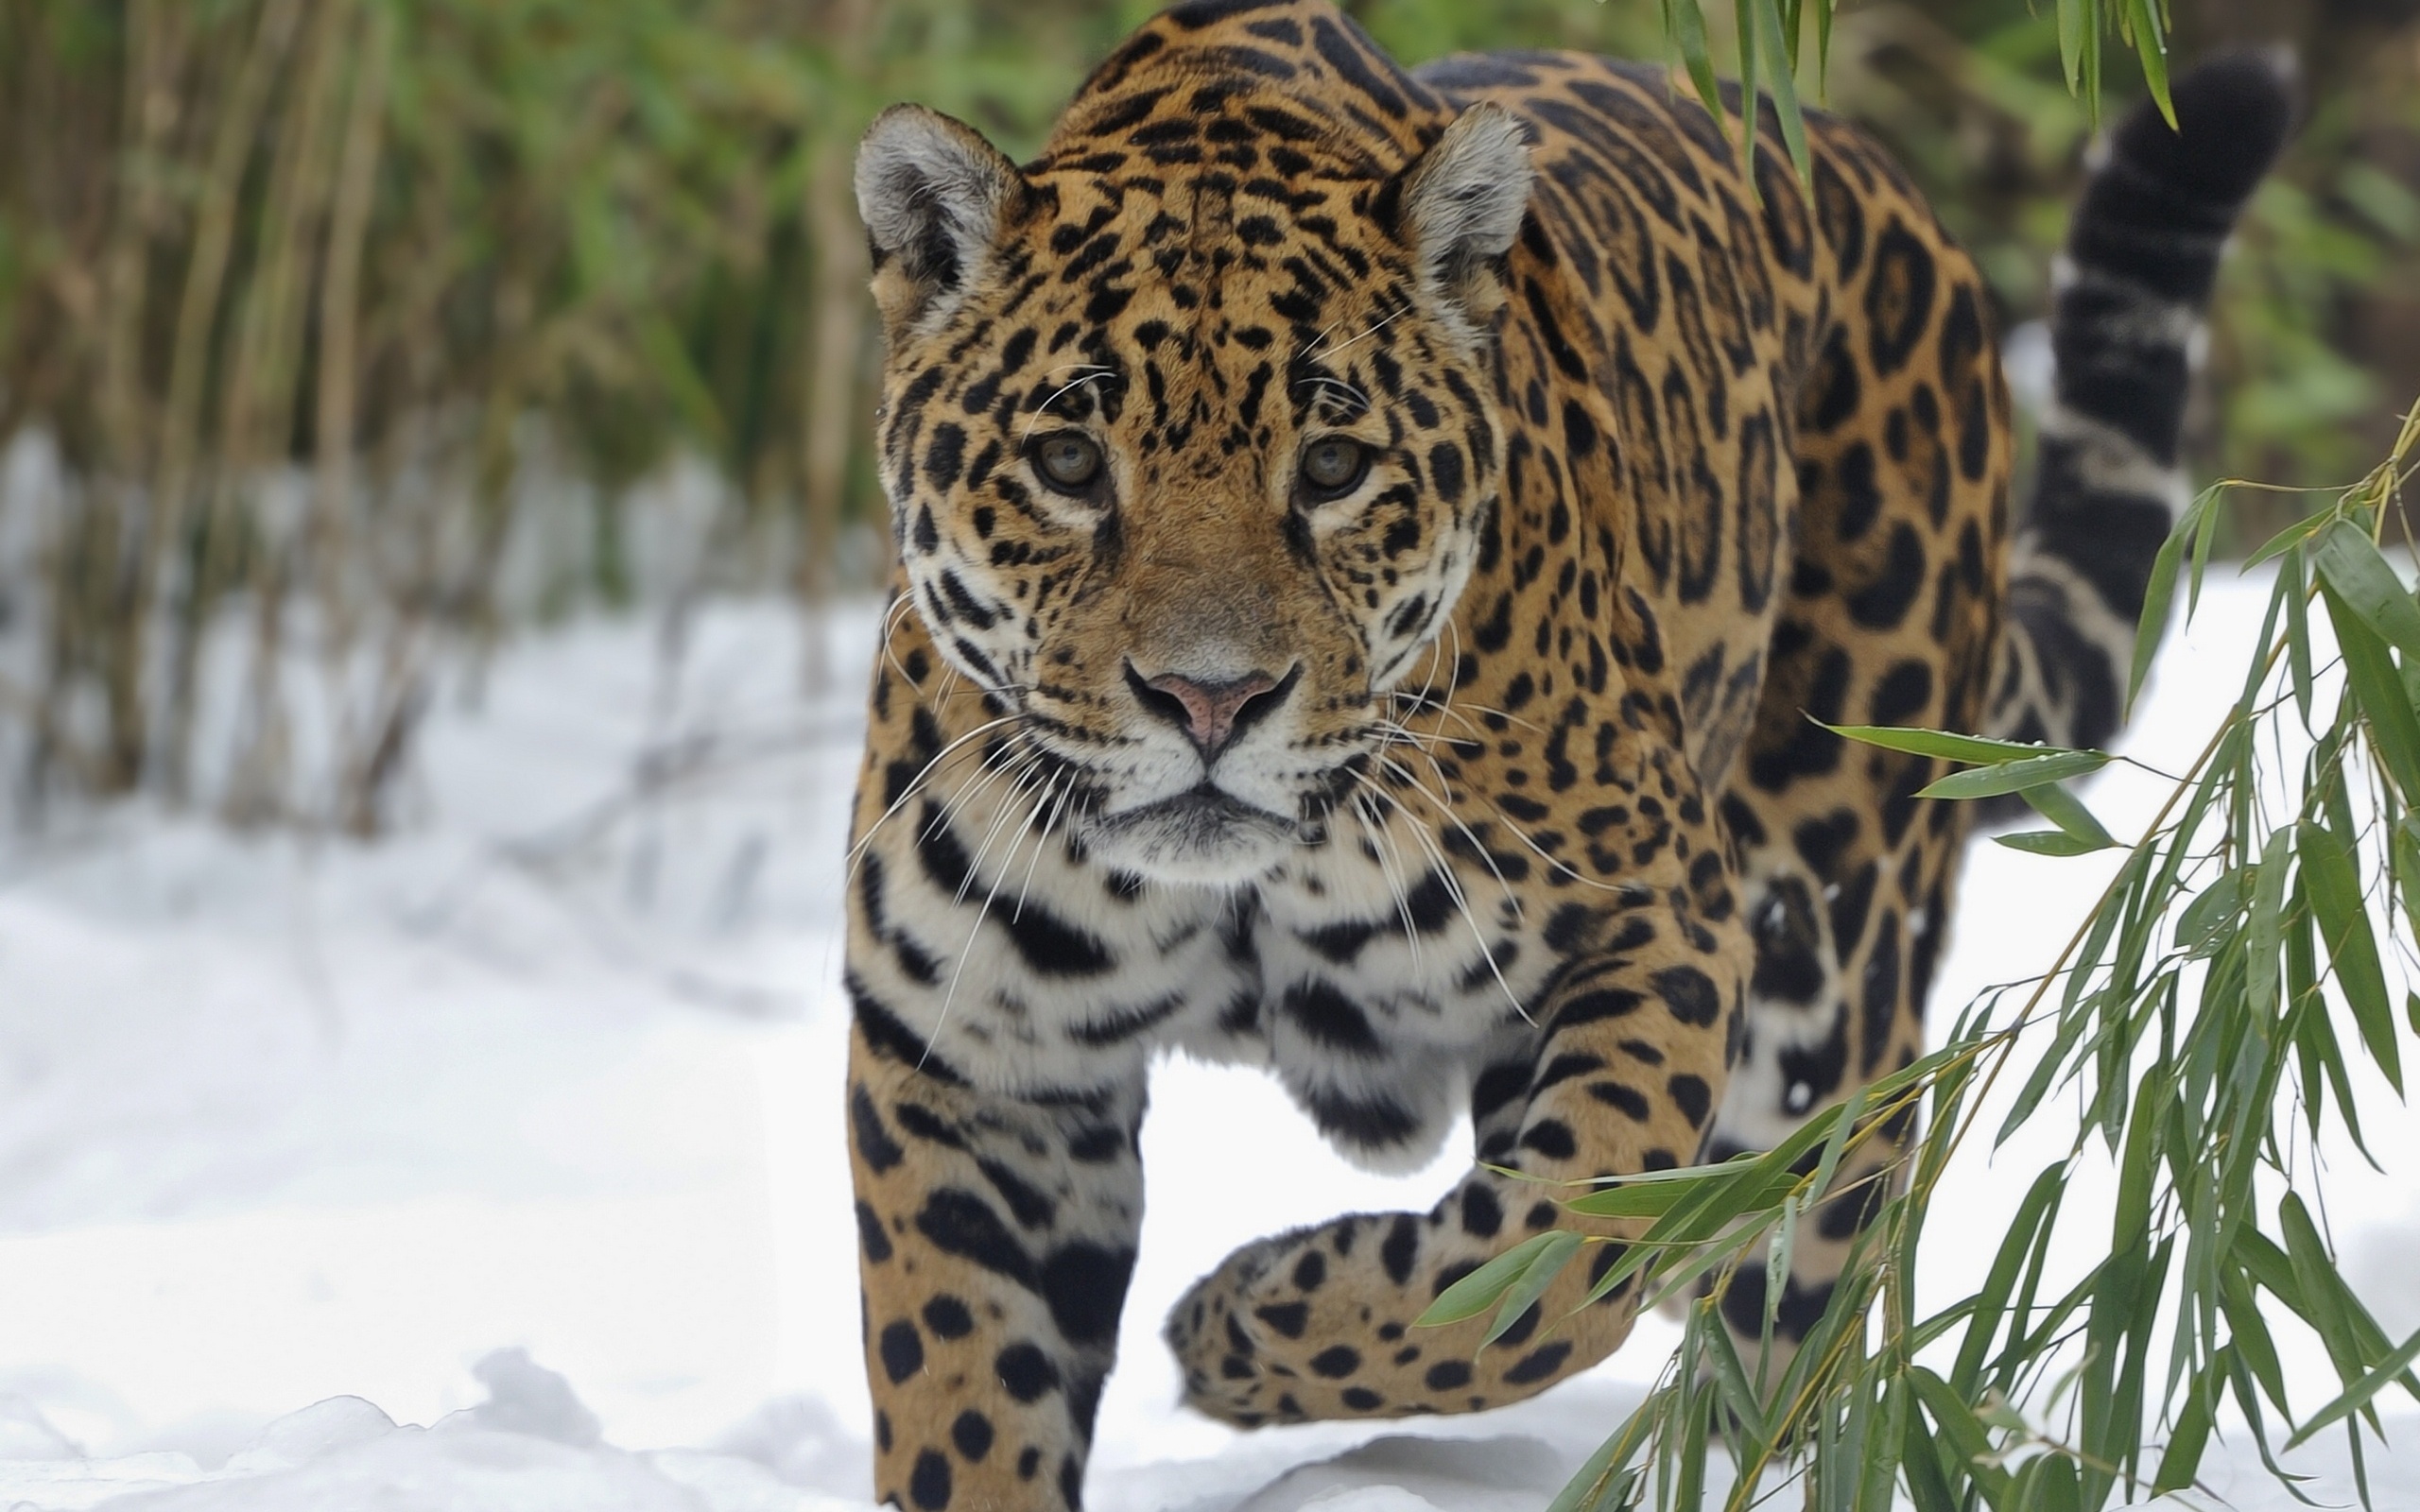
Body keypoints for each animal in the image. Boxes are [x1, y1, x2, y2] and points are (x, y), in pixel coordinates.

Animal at [836, 4, 2291, 1506]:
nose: (1209, 698)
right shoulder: (975, 1057)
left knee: (1796, 1282)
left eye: (1333, 466)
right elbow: (960, 1394)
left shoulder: (1658, 928)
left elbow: (1537, 1271)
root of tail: (1879, 177)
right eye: (1068, 462)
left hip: (1820, 974)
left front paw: (1242, 1324)